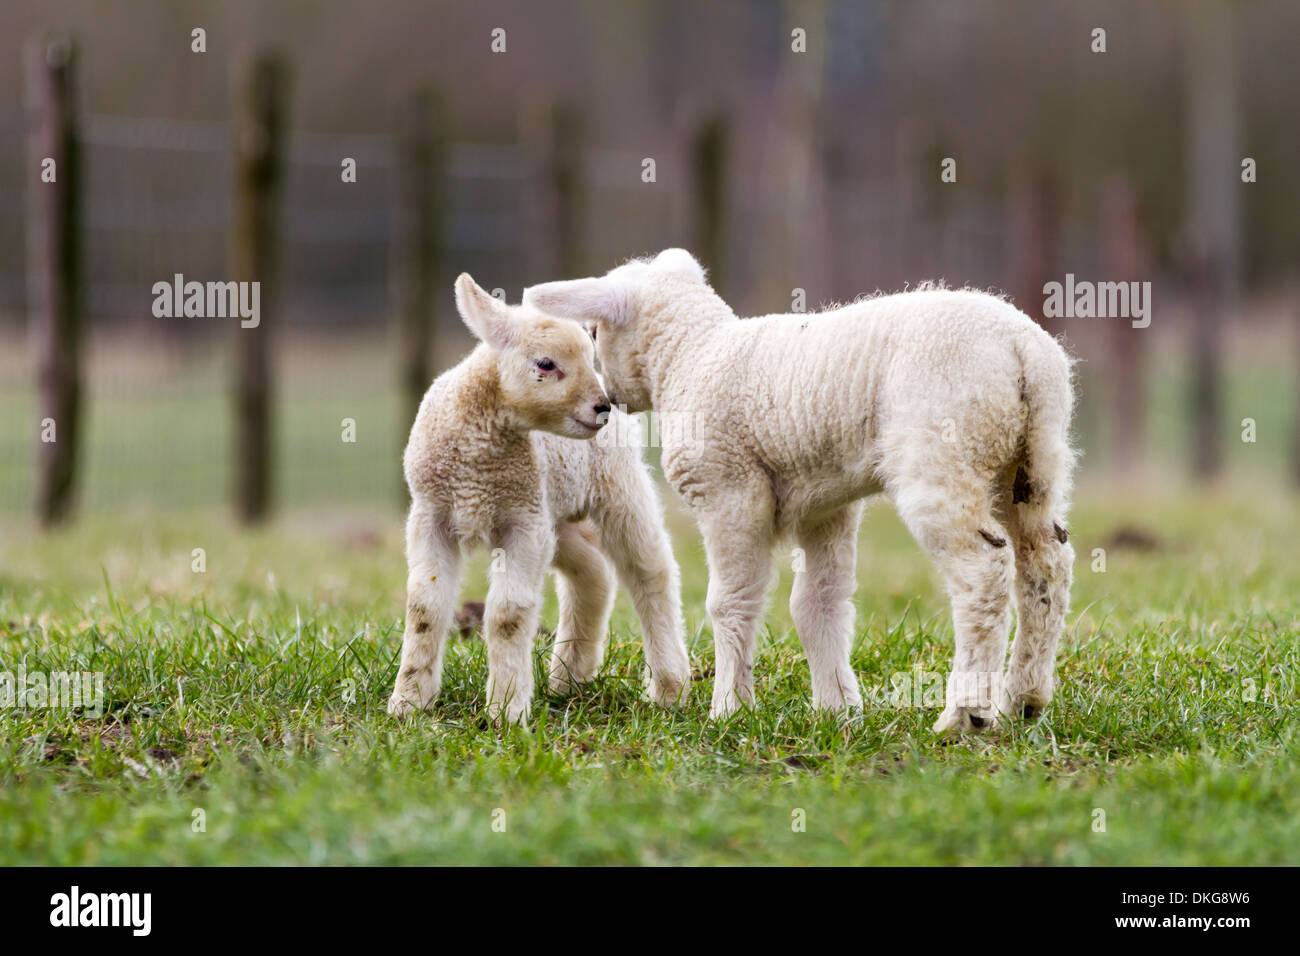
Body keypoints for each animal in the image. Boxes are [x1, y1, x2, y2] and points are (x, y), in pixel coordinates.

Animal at [387, 273, 692, 725]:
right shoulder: (433, 514)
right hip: (555, 514)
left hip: (615, 484)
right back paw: (570, 677)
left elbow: (507, 615)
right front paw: (408, 702)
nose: (601, 407)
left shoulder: (523, 524)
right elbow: (424, 609)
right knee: (592, 573)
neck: (478, 465)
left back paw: (669, 687)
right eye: (545, 364)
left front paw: (505, 710)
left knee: (651, 571)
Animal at [523, 249, 1075, 732]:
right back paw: (1025, 699)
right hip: (1032, 462)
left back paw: (966, 715)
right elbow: (817, 605)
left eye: (595, 330)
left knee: (983, 572)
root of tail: (1022, 348)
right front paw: (837, 709)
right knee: (1046, 564)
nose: (609, 401)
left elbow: (731, 601)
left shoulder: (729, 488)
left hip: (944, 457)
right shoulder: (825, 506)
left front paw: (729, 709)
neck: (691, 355)